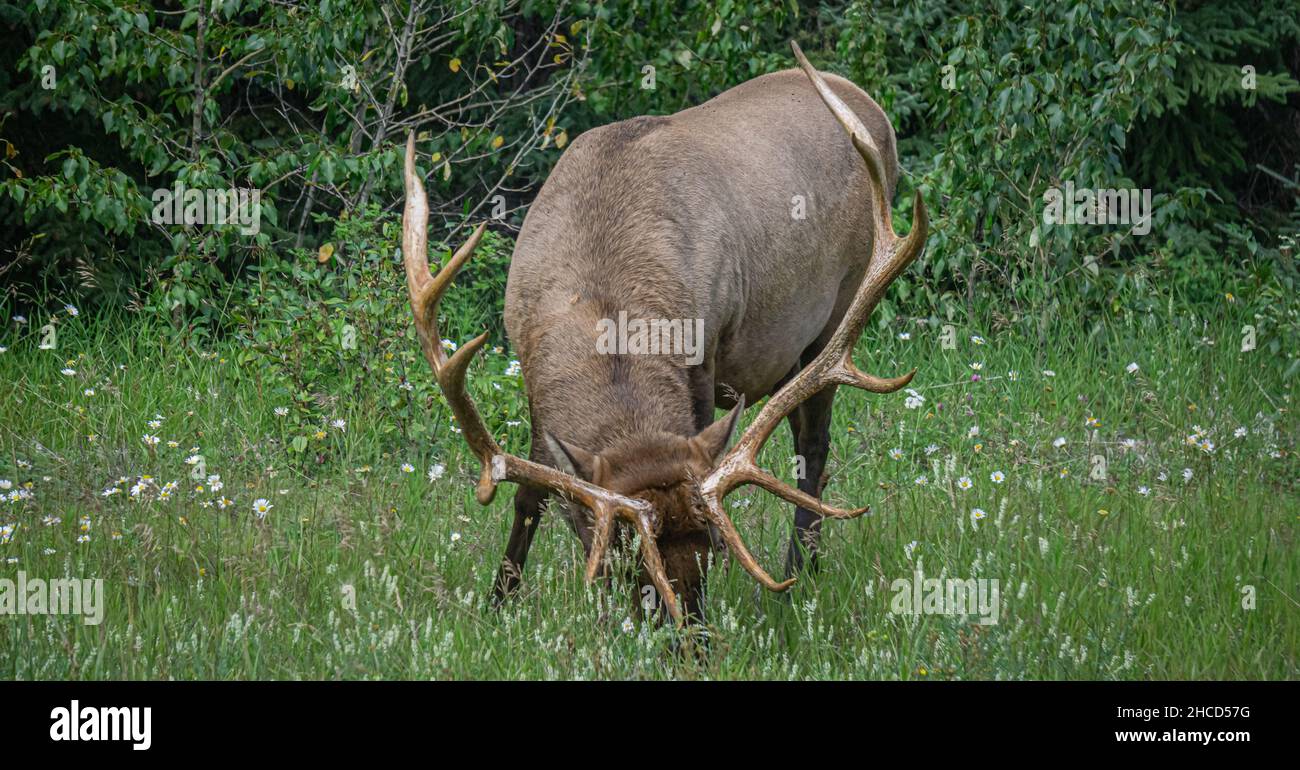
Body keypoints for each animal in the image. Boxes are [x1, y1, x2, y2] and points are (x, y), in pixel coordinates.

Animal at [401, 41, 928, 624]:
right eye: (623, 557)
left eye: (714, 550)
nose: (691, 636)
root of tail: (871, 108)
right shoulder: (529, 368)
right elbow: (530, 493)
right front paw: (500, 600)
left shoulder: (705, 354)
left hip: (841, 305)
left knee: (814, 442)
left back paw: (803, 572)